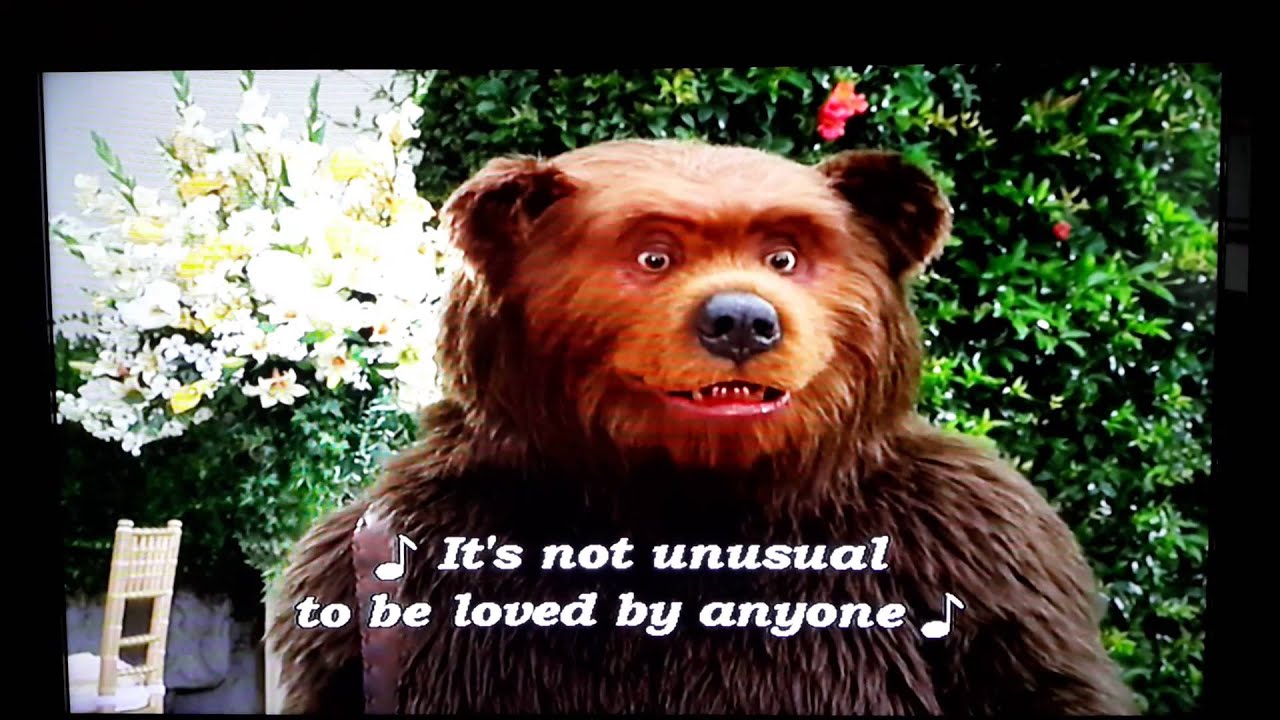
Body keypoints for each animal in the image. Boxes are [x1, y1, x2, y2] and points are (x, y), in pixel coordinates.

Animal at [267, 139, 1137, 715]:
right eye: (652, 254)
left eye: (786, 255)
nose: (742, 321)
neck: (691, 499)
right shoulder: (397, 572)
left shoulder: (970, 558)